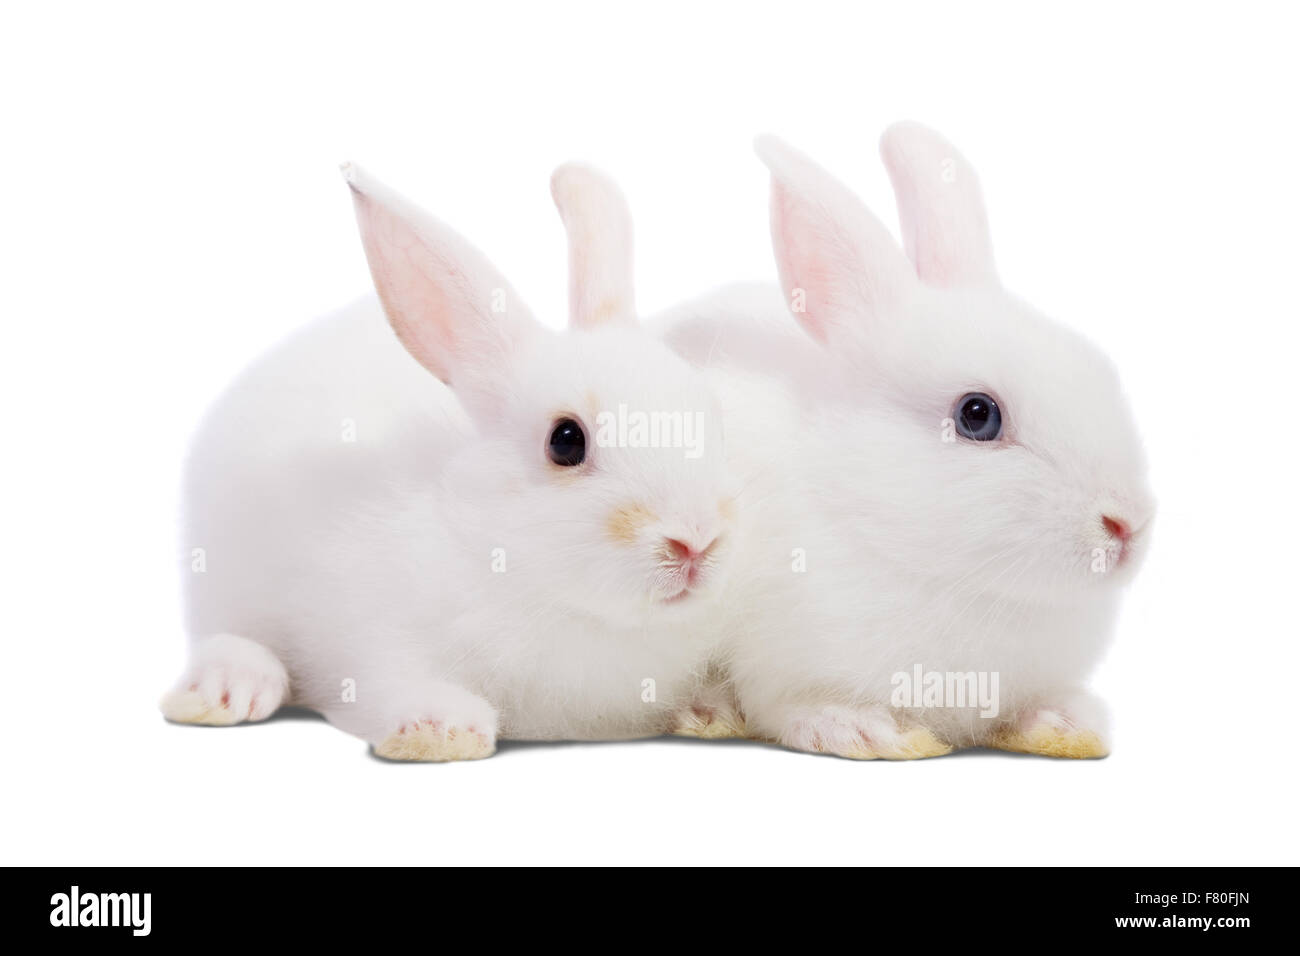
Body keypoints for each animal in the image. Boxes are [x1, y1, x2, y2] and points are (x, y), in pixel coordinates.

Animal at [161, 160, 744, 760]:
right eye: (565, 441)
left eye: (711, 418)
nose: (696, 541)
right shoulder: (371, 638)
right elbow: (393, 680)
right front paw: (441, 730)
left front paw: (714, 714)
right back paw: (228, 687)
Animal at [651, 122, 1156, 758]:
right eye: (977, 415)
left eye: (1099, 370)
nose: (1128, 523)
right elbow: (793, 705)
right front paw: (867, 731)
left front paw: (1065, 725)